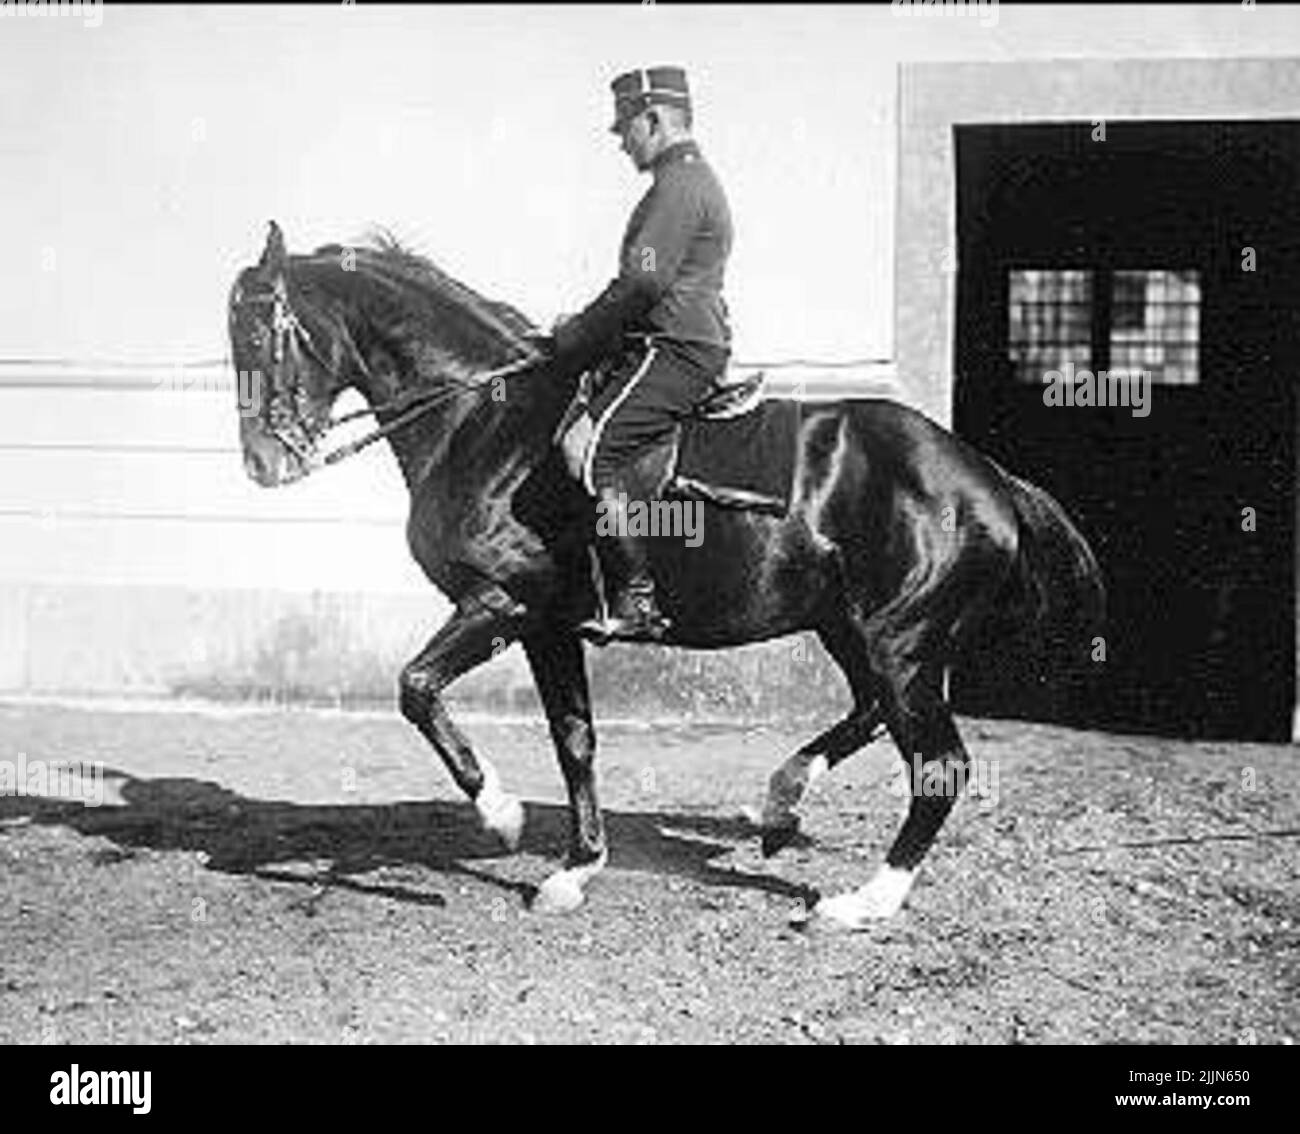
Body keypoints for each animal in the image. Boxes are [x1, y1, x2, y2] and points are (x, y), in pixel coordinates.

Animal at [228, 220, 1105, 928]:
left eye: (261, 336)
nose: (264, 464)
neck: (486, 421)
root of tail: (988, 478)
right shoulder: (546, 627)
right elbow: (575, 741)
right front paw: (577, 867)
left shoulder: (501, 604)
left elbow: (415, 687)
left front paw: (501, 816)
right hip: (855, 631)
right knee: (867, 715)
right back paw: (779, 802)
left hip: (901, 645)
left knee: (939, 766)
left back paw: (864, 900)